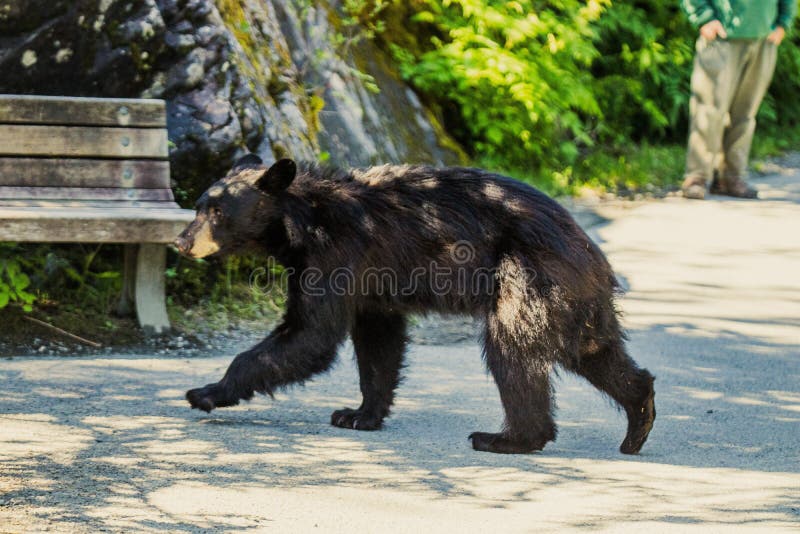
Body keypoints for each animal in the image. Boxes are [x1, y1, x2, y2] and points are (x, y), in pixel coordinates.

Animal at [174, 155, 656, 455]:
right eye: (197, 205)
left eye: (217, 212)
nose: (180, 242)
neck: (302, 222)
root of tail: (592, 254)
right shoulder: (372, 283)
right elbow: (378, 344)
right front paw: (358, 414)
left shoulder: (336, 254)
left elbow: (311, 335)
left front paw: (206, 392)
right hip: (577, 304)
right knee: (598, 354)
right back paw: (639, 418)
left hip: (528, 278)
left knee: (512, 351)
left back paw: (505, 438)